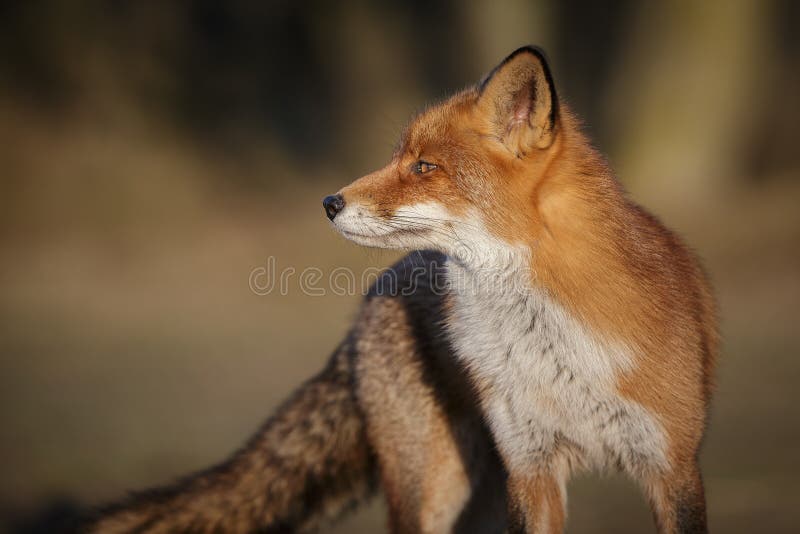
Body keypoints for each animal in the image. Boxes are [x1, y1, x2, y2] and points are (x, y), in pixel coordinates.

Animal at [82, 46, 717, 534]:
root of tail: (374, 295)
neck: (555, 343)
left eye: (424, 167)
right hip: (437, 488)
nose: (329, 202)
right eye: (398, 158)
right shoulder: (532, 467)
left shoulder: (673, 465)